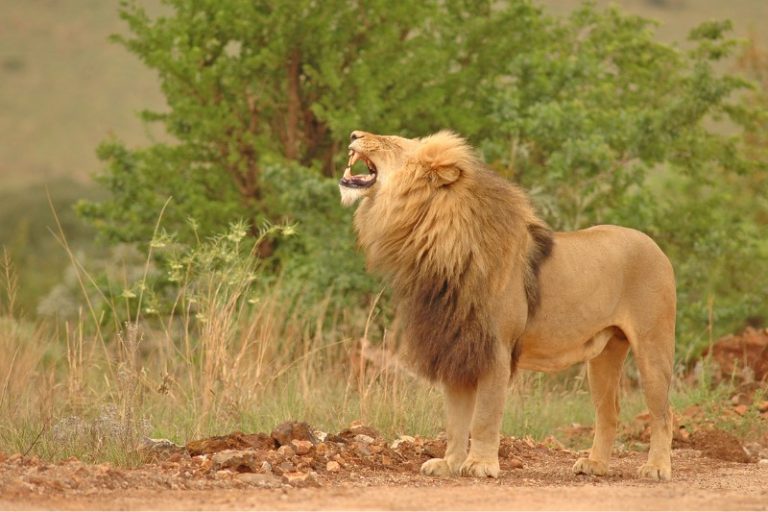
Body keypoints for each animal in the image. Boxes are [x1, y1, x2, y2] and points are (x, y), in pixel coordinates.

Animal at [339, 130, 676, 481]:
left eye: (392, 142)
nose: (354, 134)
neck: (436, 240)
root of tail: (654, 245)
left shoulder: (495, 350)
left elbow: (483, 417)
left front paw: (481, 465)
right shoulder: (457, 347)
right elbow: (455, 421)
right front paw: (449, 463)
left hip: (652, 347)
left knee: (664, 412)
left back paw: (656, 468)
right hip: (604, 355)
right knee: (609, 410)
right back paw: (595, 464)